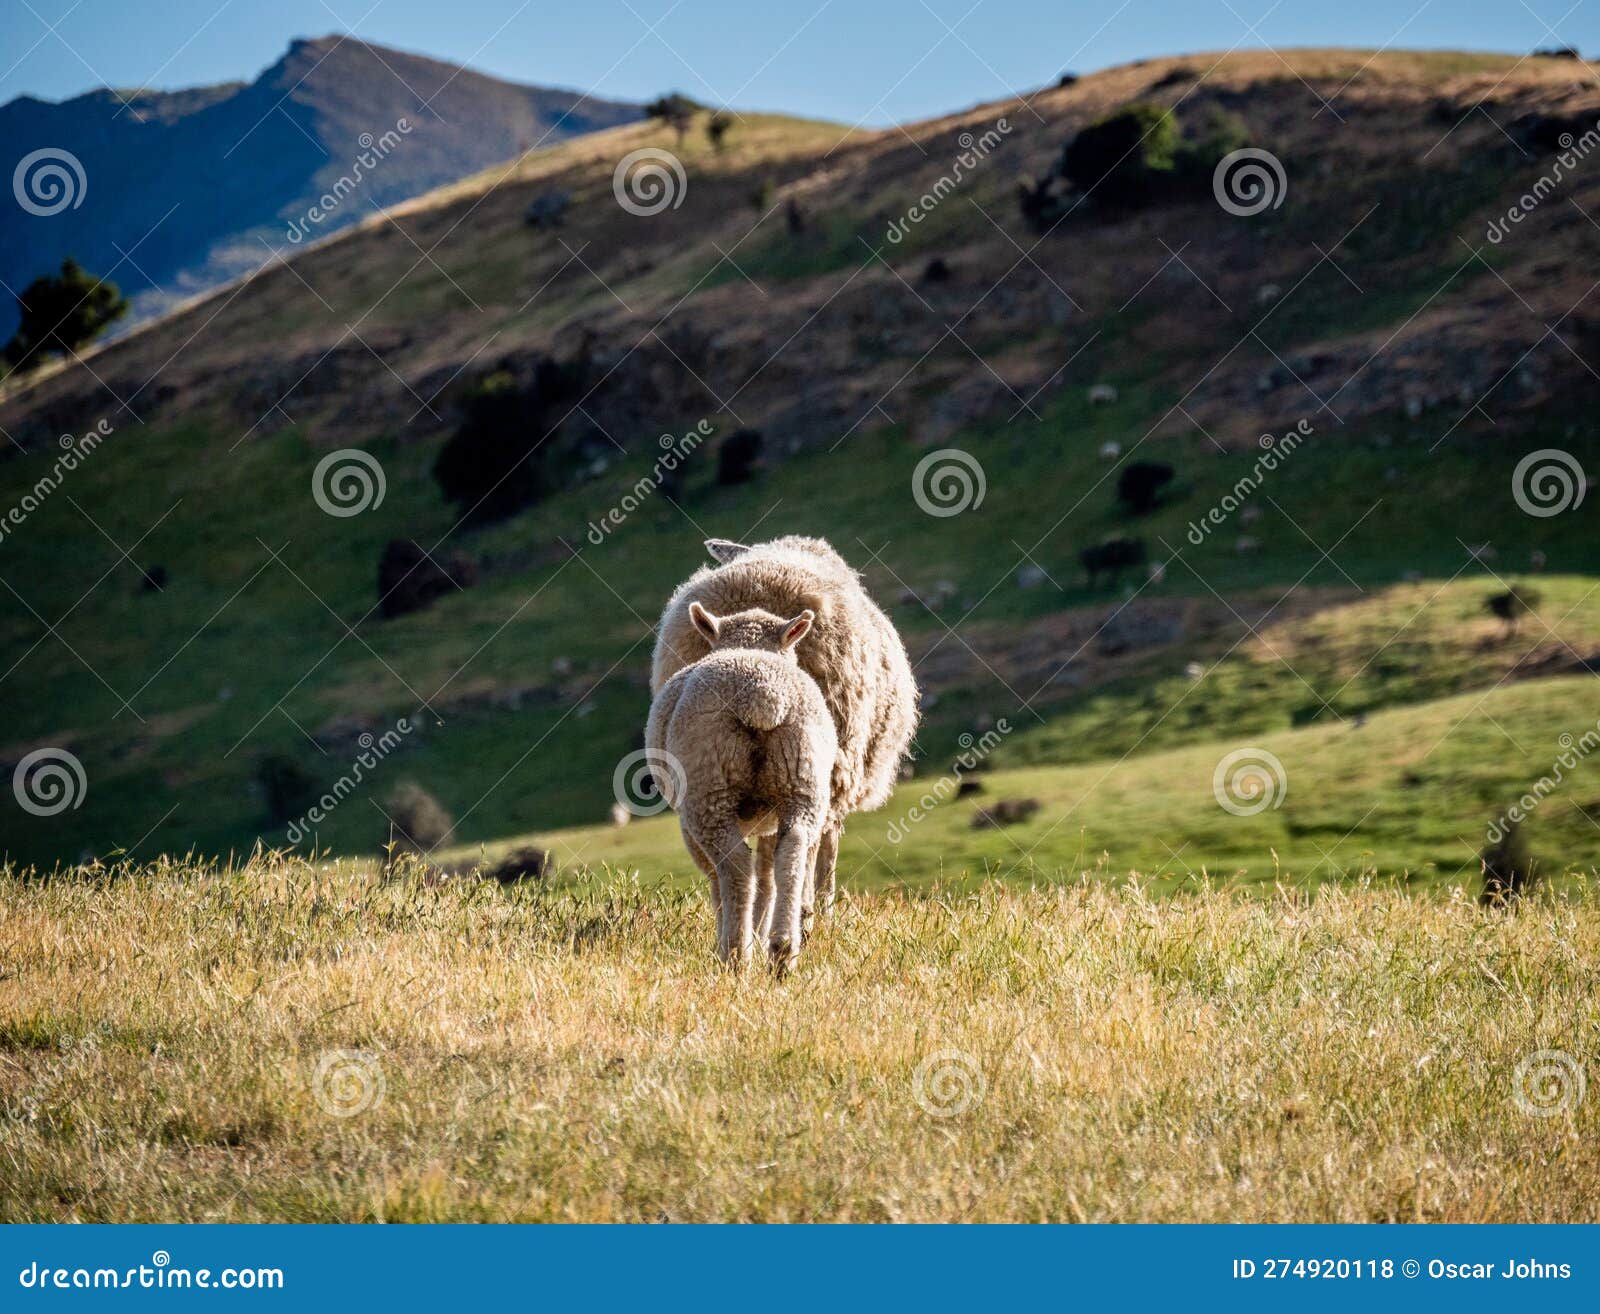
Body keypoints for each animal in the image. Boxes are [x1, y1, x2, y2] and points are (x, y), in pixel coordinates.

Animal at [646, 603, 836, 972]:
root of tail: (762, 693)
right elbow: (765, 876)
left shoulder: (687, 822)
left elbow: (715, 877)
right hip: (802, 779)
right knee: (791, 854)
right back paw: (782, 951)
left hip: (707, 786)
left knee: (734, 866)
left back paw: (735, 954)